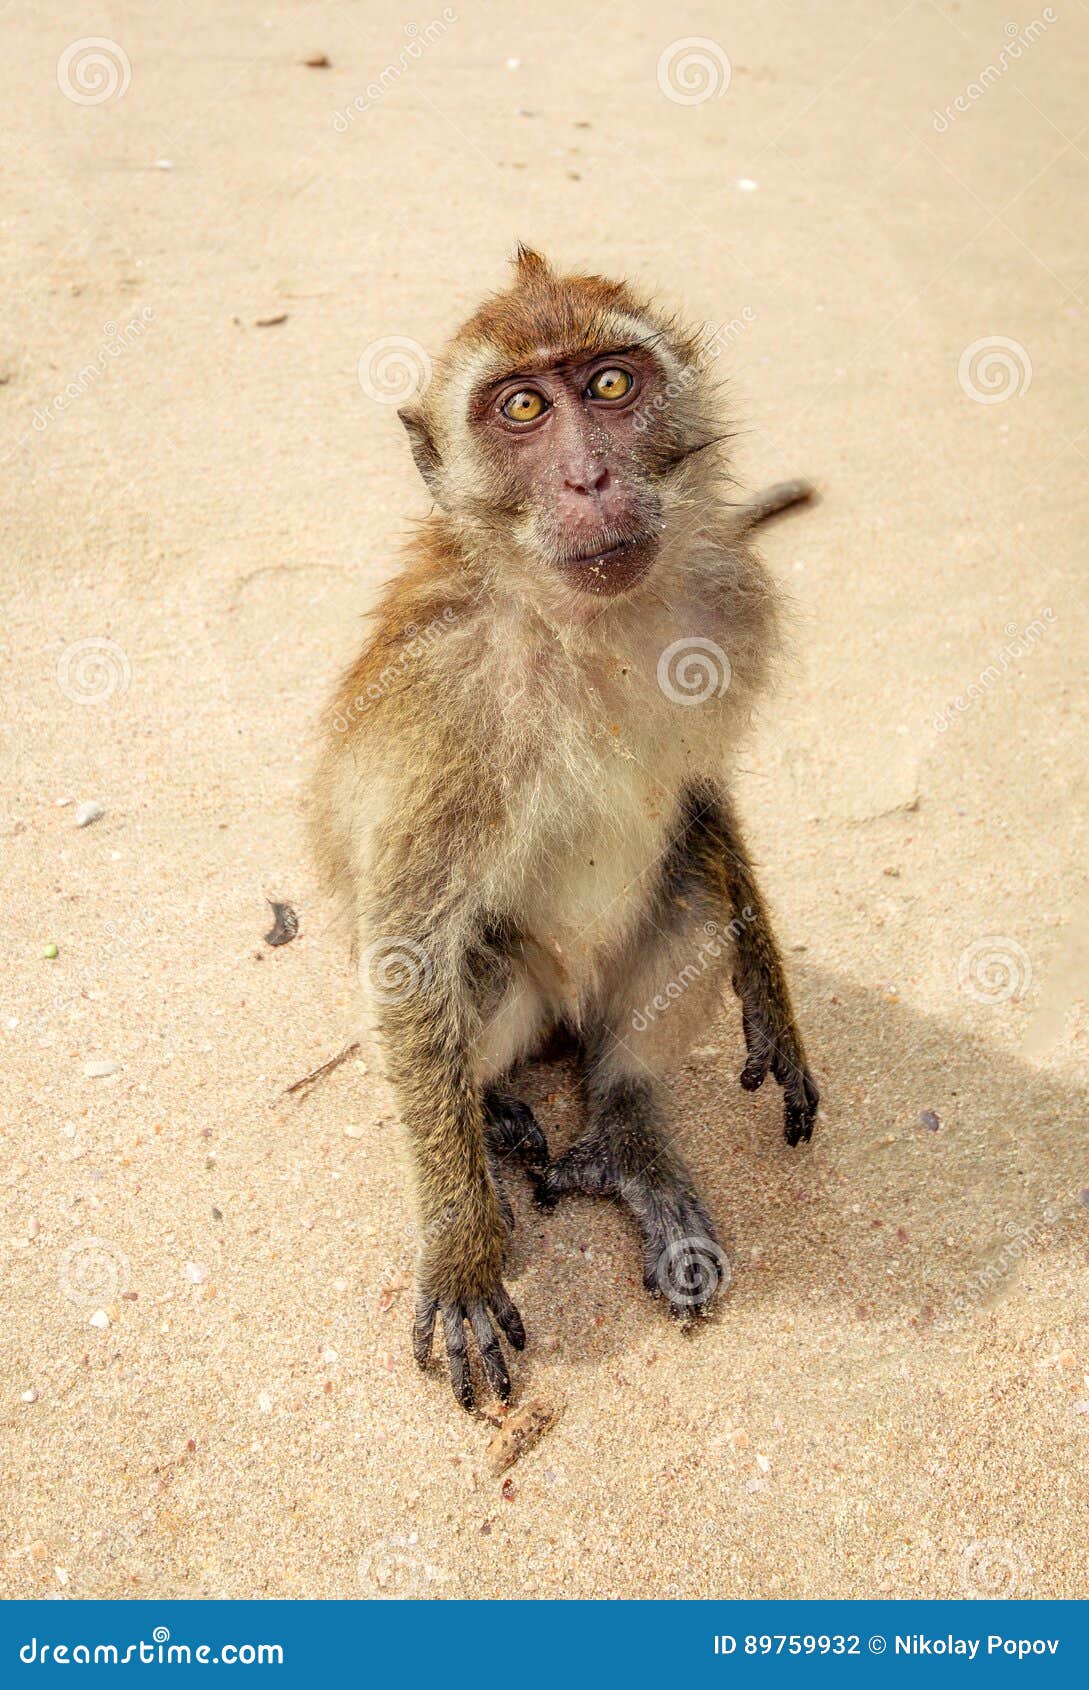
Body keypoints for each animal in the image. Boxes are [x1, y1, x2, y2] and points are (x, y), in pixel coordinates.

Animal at [311, 247, 819, 1411]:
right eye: (523, 408)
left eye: (612, 386)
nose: (589, 479)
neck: (585, 627)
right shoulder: (439, 709)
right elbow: (408, 943)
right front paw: (461, 1253)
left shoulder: (726, 603)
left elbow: (701, 797)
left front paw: (771, 995)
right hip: (529, 995)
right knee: (477, 962)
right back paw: (492, 1110)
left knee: (689, 892)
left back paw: (627, 1132)